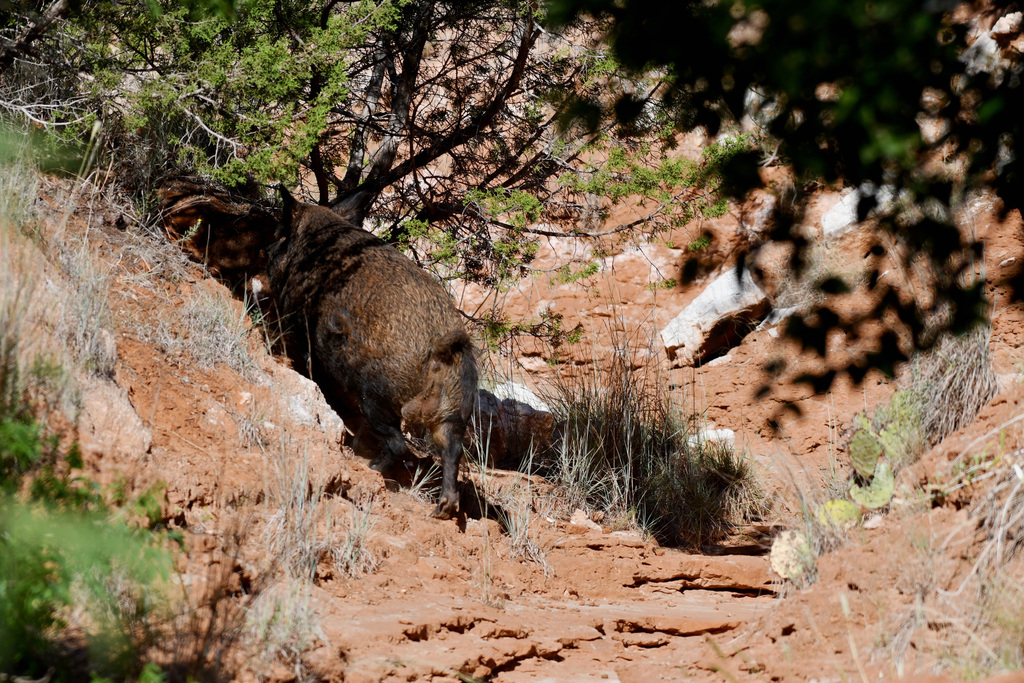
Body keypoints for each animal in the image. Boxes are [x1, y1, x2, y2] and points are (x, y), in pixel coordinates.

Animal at [267, 187, 477, 519]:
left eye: (279, 233)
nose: (266, 251)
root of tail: (445, 347)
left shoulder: (302, 327)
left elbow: (309, 367)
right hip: (453, 412)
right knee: (452, 450)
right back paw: (443, 509)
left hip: (378, 394)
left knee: (399, 444)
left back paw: (371, 467)